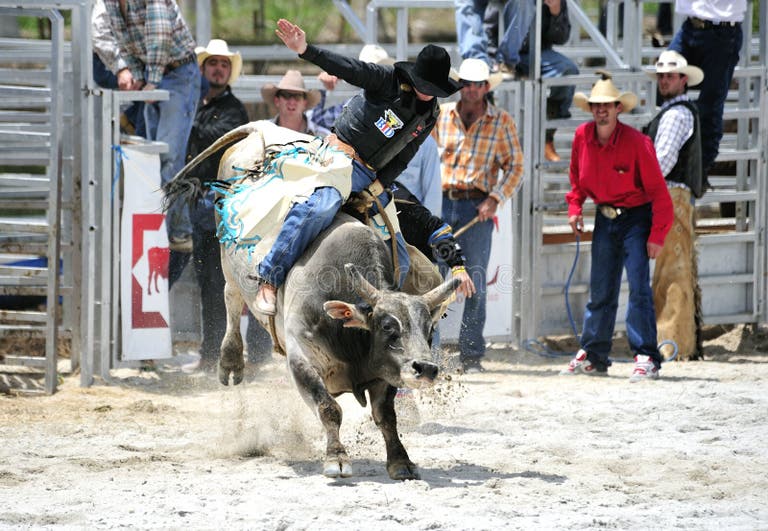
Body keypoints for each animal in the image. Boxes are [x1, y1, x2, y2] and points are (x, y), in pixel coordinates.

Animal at [167, 121, 458, 480]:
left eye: (429, 330)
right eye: (388, 327)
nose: (426, 368)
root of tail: (262, 127)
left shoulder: (383, 371)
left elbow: (386, 417)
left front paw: (401, 461)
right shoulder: (301, 356)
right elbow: (328, 408)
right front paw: (337, 458)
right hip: (227, 263)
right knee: (232, 301)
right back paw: (231, 361)